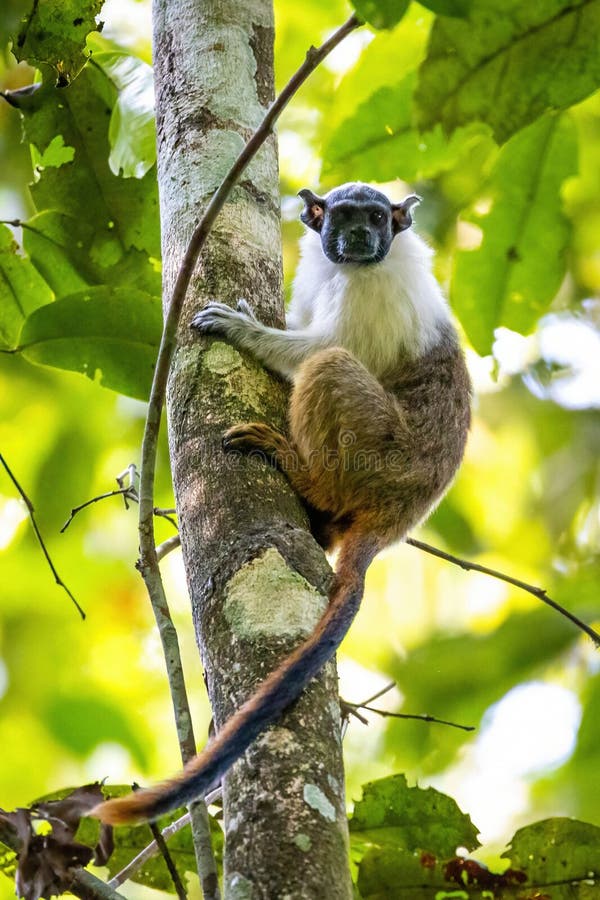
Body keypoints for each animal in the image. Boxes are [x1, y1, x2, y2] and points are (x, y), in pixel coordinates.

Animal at [93, 182, 471, 825]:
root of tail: (400, 511)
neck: (353, 267)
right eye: (341, 218)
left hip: (378, 454)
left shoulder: (374, 292)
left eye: (376, 220)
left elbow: (321, 348)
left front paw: (241, 331)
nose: (357, 238)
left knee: (330, 362)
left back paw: (303, 475)